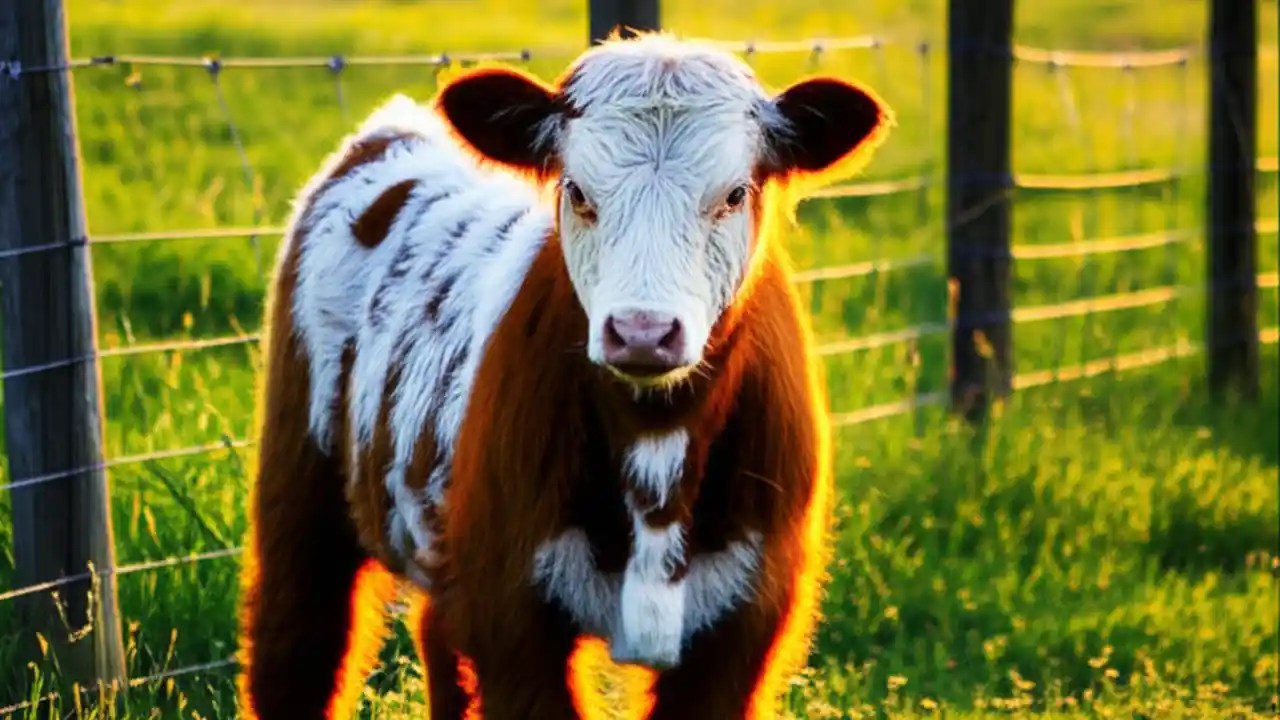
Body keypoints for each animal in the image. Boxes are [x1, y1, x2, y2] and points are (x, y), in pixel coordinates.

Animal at [236, 31, 891, 720]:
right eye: (577, 191)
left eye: (735, 194)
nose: (642, 331)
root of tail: (392, 127)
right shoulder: (513, 616)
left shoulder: (742, 626)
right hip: (298, 490)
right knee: (296, 649)